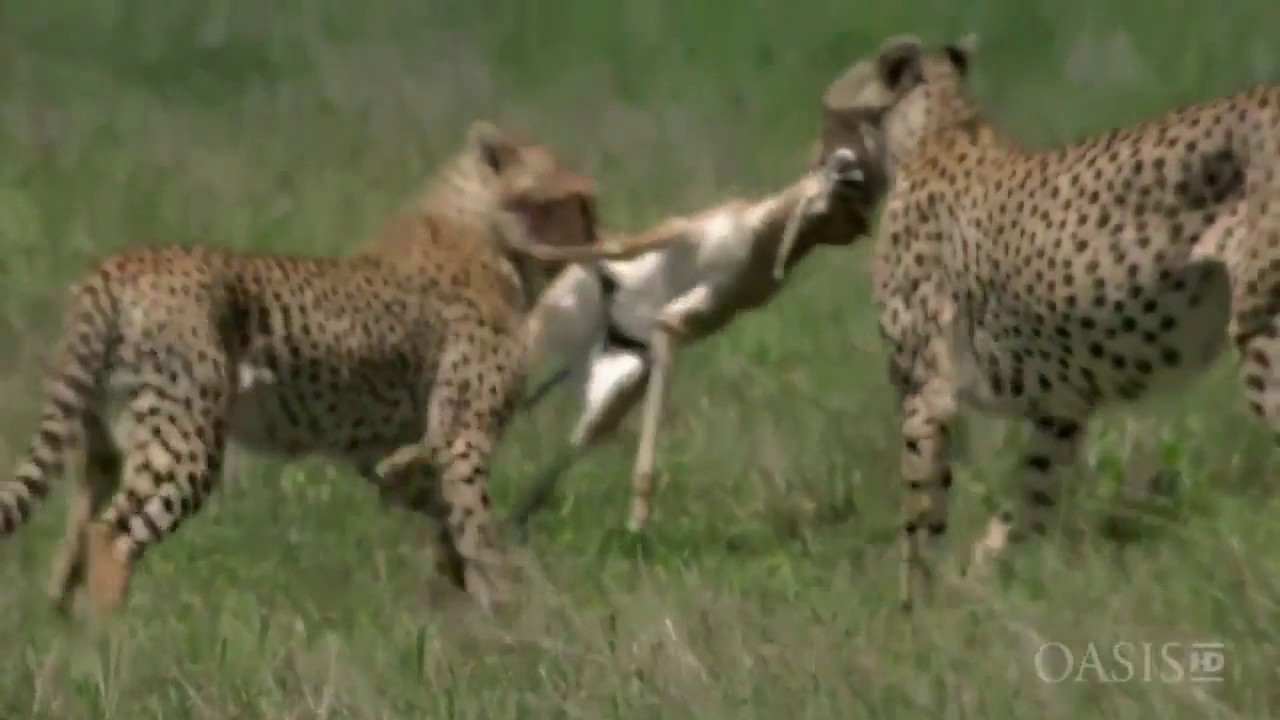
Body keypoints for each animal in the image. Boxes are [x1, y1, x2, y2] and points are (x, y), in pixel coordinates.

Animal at [0, 119, 605, 622]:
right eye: (575, 200)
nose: (600, 233)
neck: (483, 228)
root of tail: (121, 263)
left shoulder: (385, 446)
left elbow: (444, 517)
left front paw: (464, 600)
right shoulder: (462, 435)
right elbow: (479, 528)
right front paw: (507, 618)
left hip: (105, 439)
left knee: (77, 532)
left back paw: (63, 631)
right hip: (187, 437)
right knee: (111, 535)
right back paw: (114, 640)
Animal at [808, 33, 1280, 610]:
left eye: (829, 113)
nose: (817, 159)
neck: (937, 129)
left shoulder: (926, 395)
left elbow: (921, 519)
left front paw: (914, 614)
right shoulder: (1061, 408)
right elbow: (1029, 502)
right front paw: (977, 589)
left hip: (1263, 335)